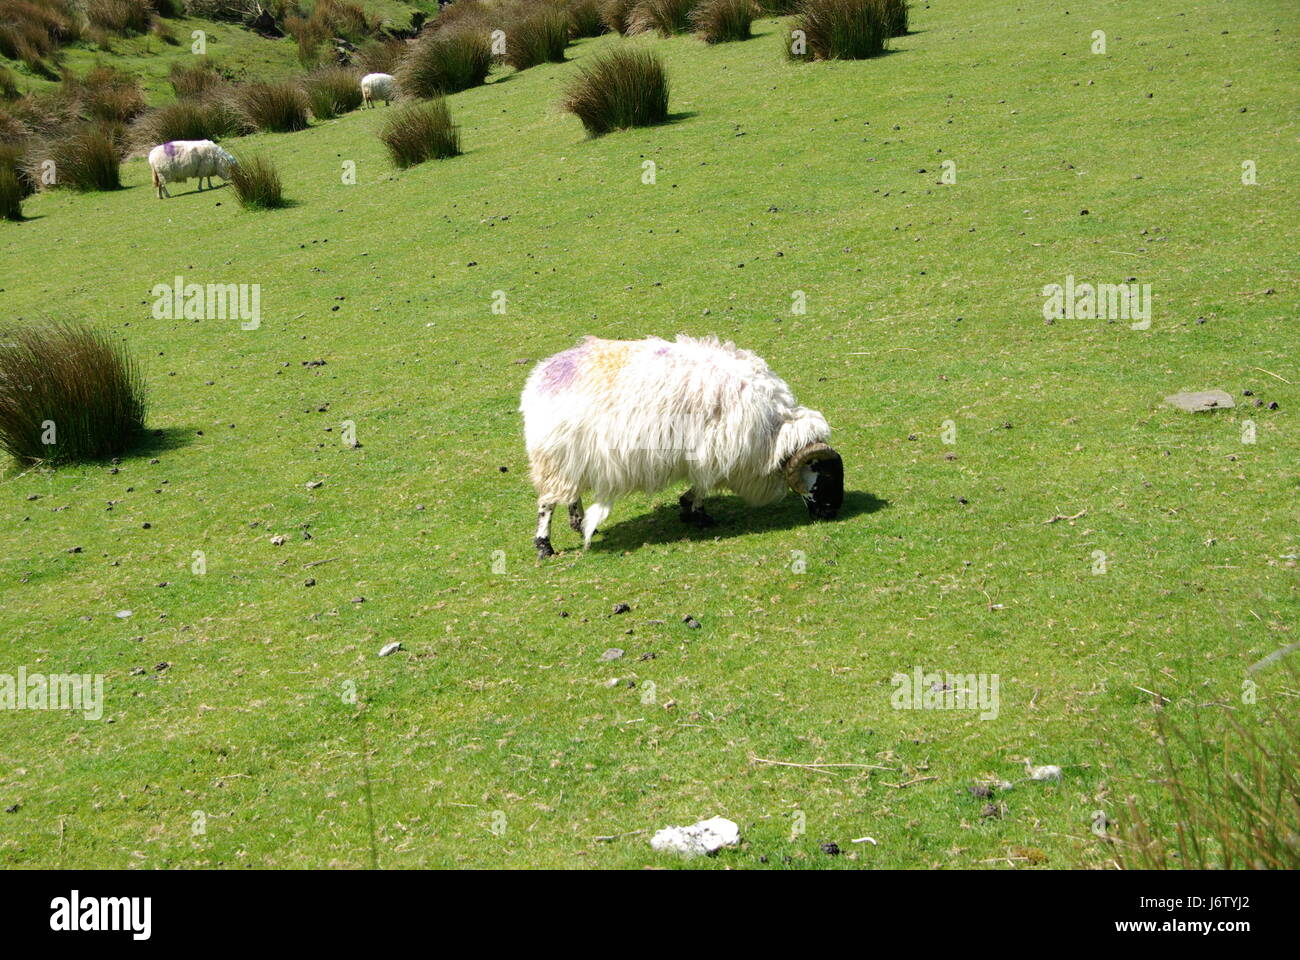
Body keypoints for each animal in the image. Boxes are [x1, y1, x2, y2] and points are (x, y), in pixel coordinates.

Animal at [521, 335, 844, 557]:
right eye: (826, 474)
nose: (831, 513)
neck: (774, 430)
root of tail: (541, 378)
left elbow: (700, 486)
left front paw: (687, 507)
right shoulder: (712, 453)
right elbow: (703, 486)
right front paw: (698, 514)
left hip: (570, 459)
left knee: (570, 493)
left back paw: (579, 522)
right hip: (553, 458)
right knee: (547, 503)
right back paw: (544, 546)